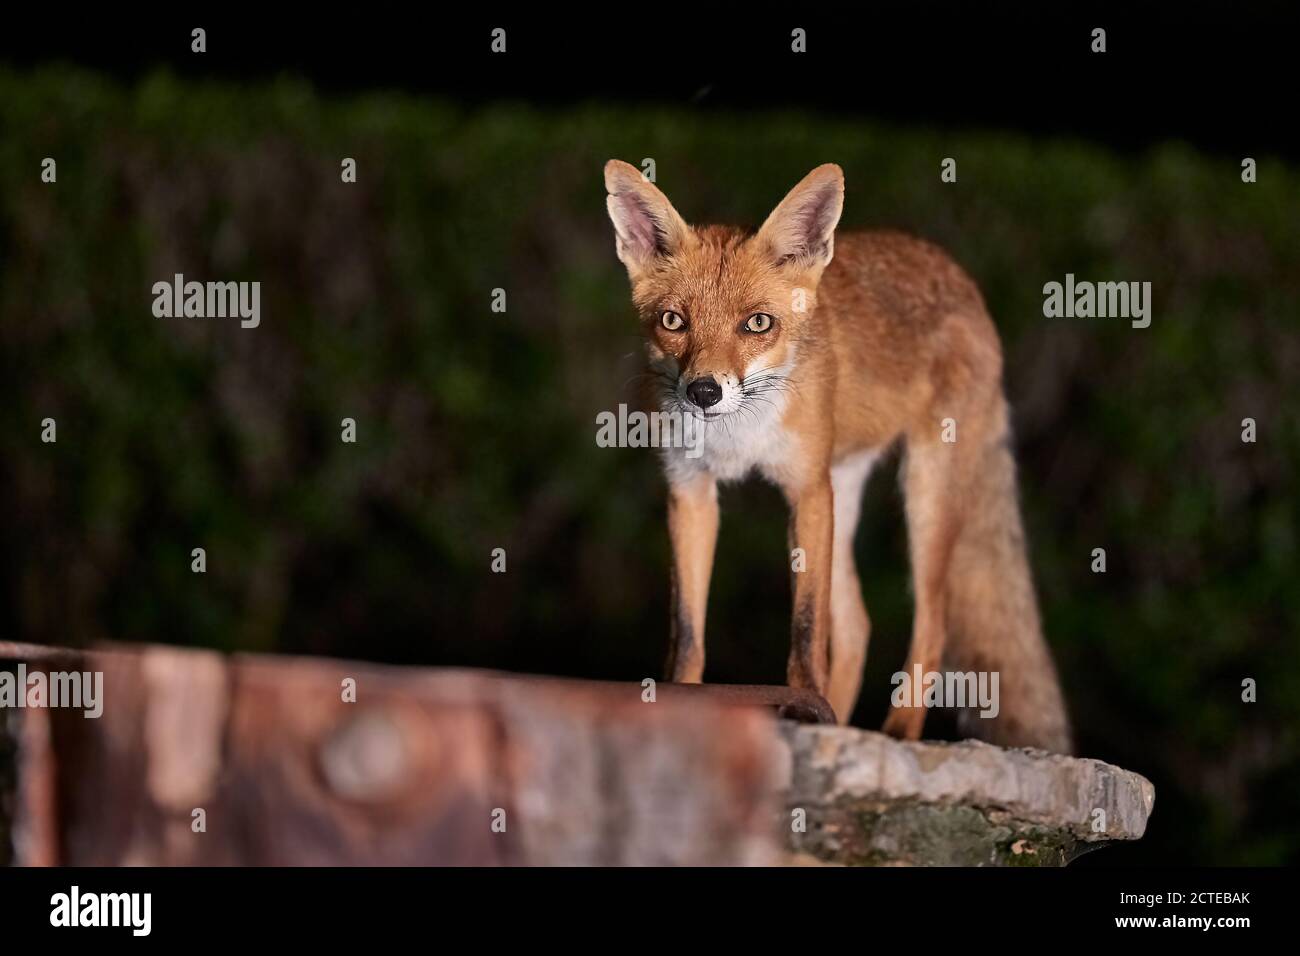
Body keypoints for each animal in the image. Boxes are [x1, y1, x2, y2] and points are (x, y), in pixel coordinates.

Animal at [603, 159, 1073, 754]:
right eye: (673, 321)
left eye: (757, 323)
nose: (704, 392)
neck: (738, 439)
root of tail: (960, 277)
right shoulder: (690, 492)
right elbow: (687, 632)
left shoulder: (806, 489)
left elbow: (807, 630)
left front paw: (806, 714)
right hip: (844, 492)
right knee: (858, 627)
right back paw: (842, 720)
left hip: (924, 492)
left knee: (932, 620)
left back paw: (897, 731)